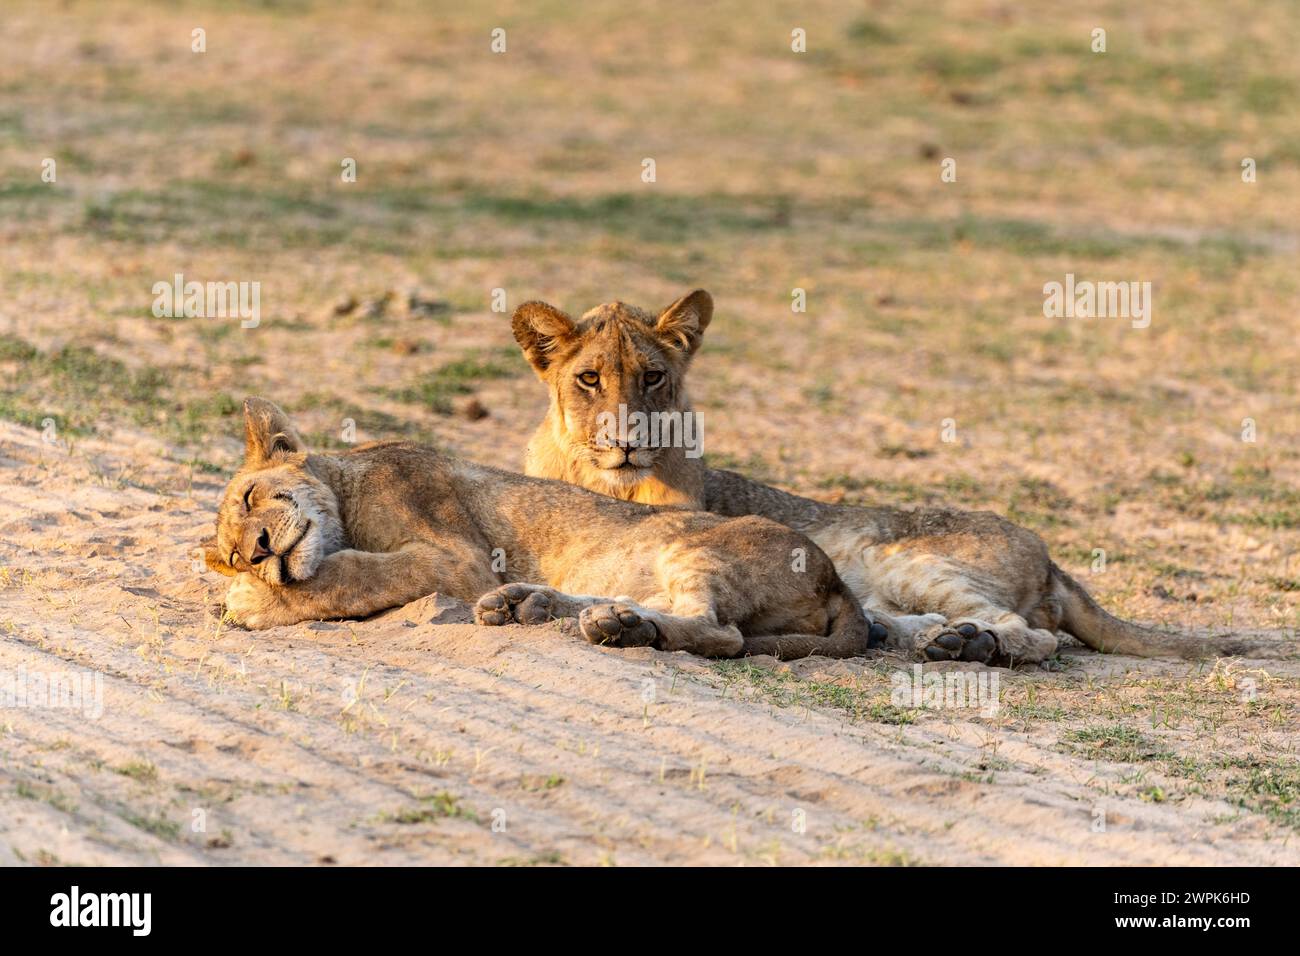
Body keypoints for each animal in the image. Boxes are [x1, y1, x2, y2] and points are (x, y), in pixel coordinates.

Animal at [203, 397, 880, 661]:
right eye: (230, 553)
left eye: (252, 496)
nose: (256, 553)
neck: (347, 480)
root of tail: (837, 581)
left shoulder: (461, 560)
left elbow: (355, 572)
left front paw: (255, 602)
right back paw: (543, 608)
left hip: (695, 550)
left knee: (723, 634)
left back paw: (617, 628)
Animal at [513, 290, 1279, 666]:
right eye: (589, 379)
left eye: (652, 378)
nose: (626, 441)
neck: (608, 480)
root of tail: (1050, 557)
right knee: (912, 624)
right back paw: (949, 641)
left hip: (902, 557)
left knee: (1037, 638)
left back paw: (977, 646)